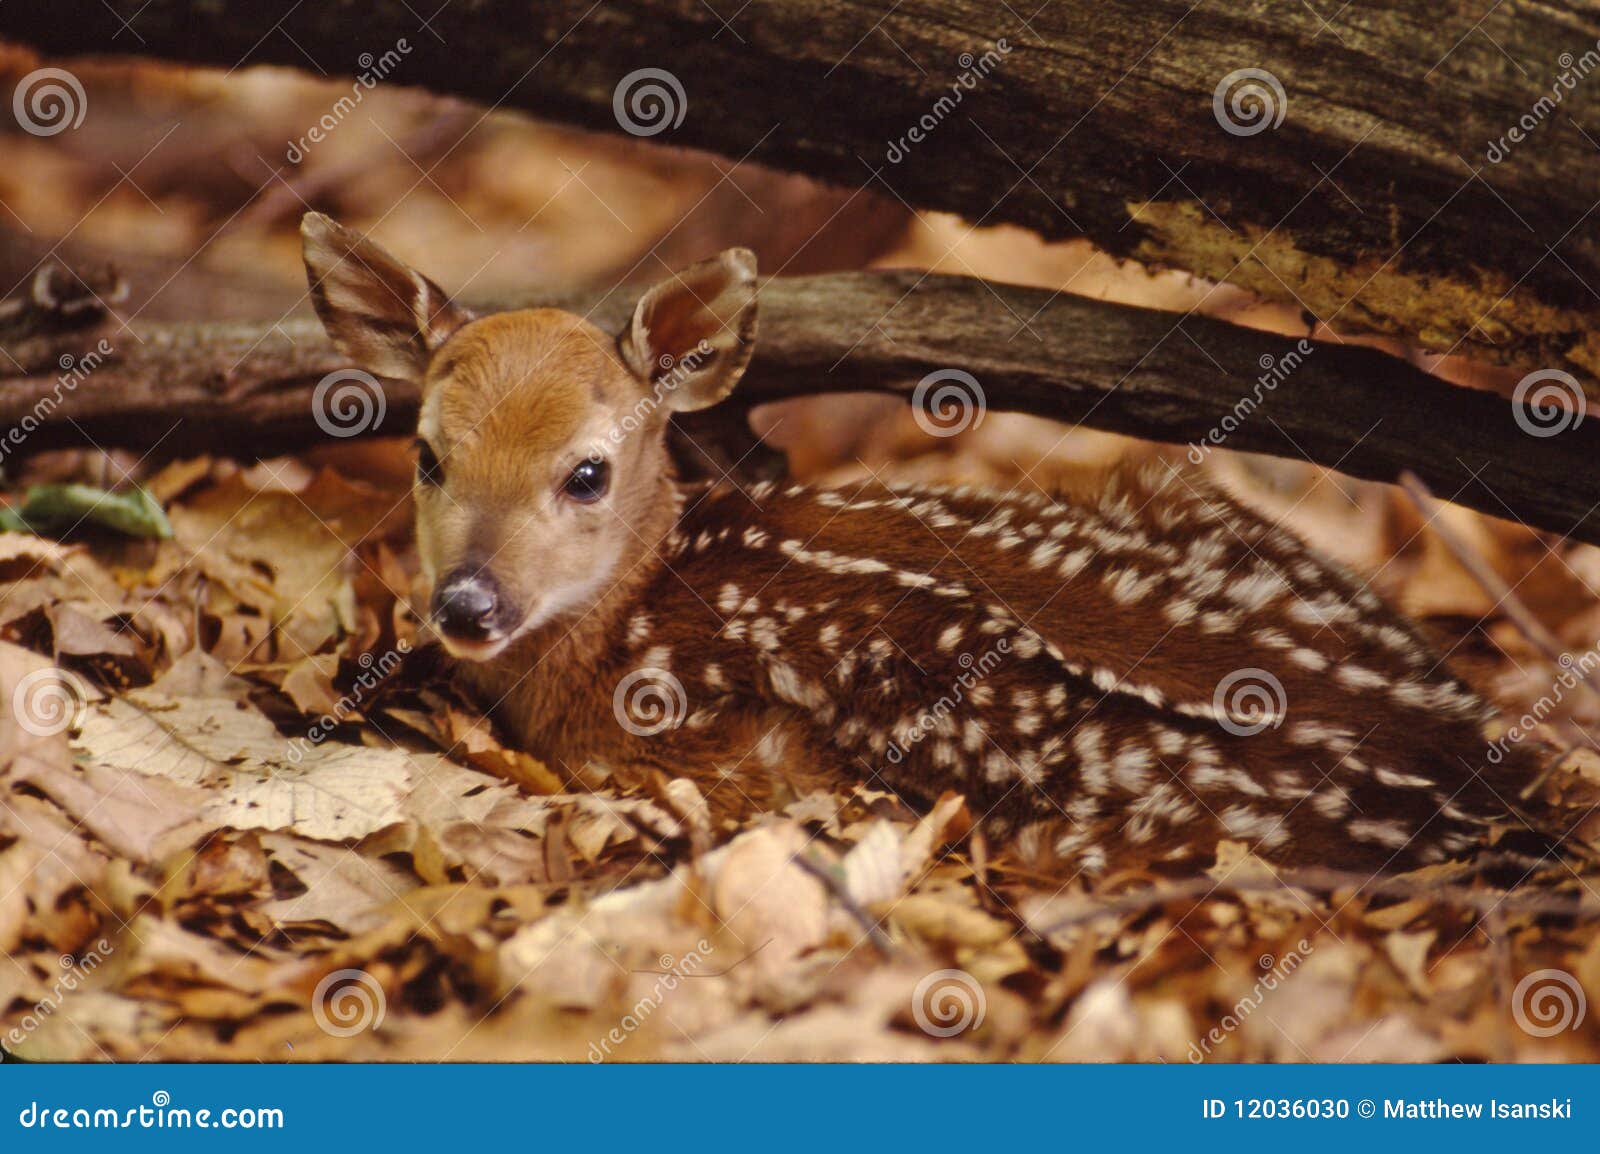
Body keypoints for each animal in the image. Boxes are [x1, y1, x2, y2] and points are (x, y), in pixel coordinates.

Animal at [300, 212, 1558, 881]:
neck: (630, 620)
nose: (467, 603)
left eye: (587, 471)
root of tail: (1474, 747)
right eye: (427, 454)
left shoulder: (736, 757)